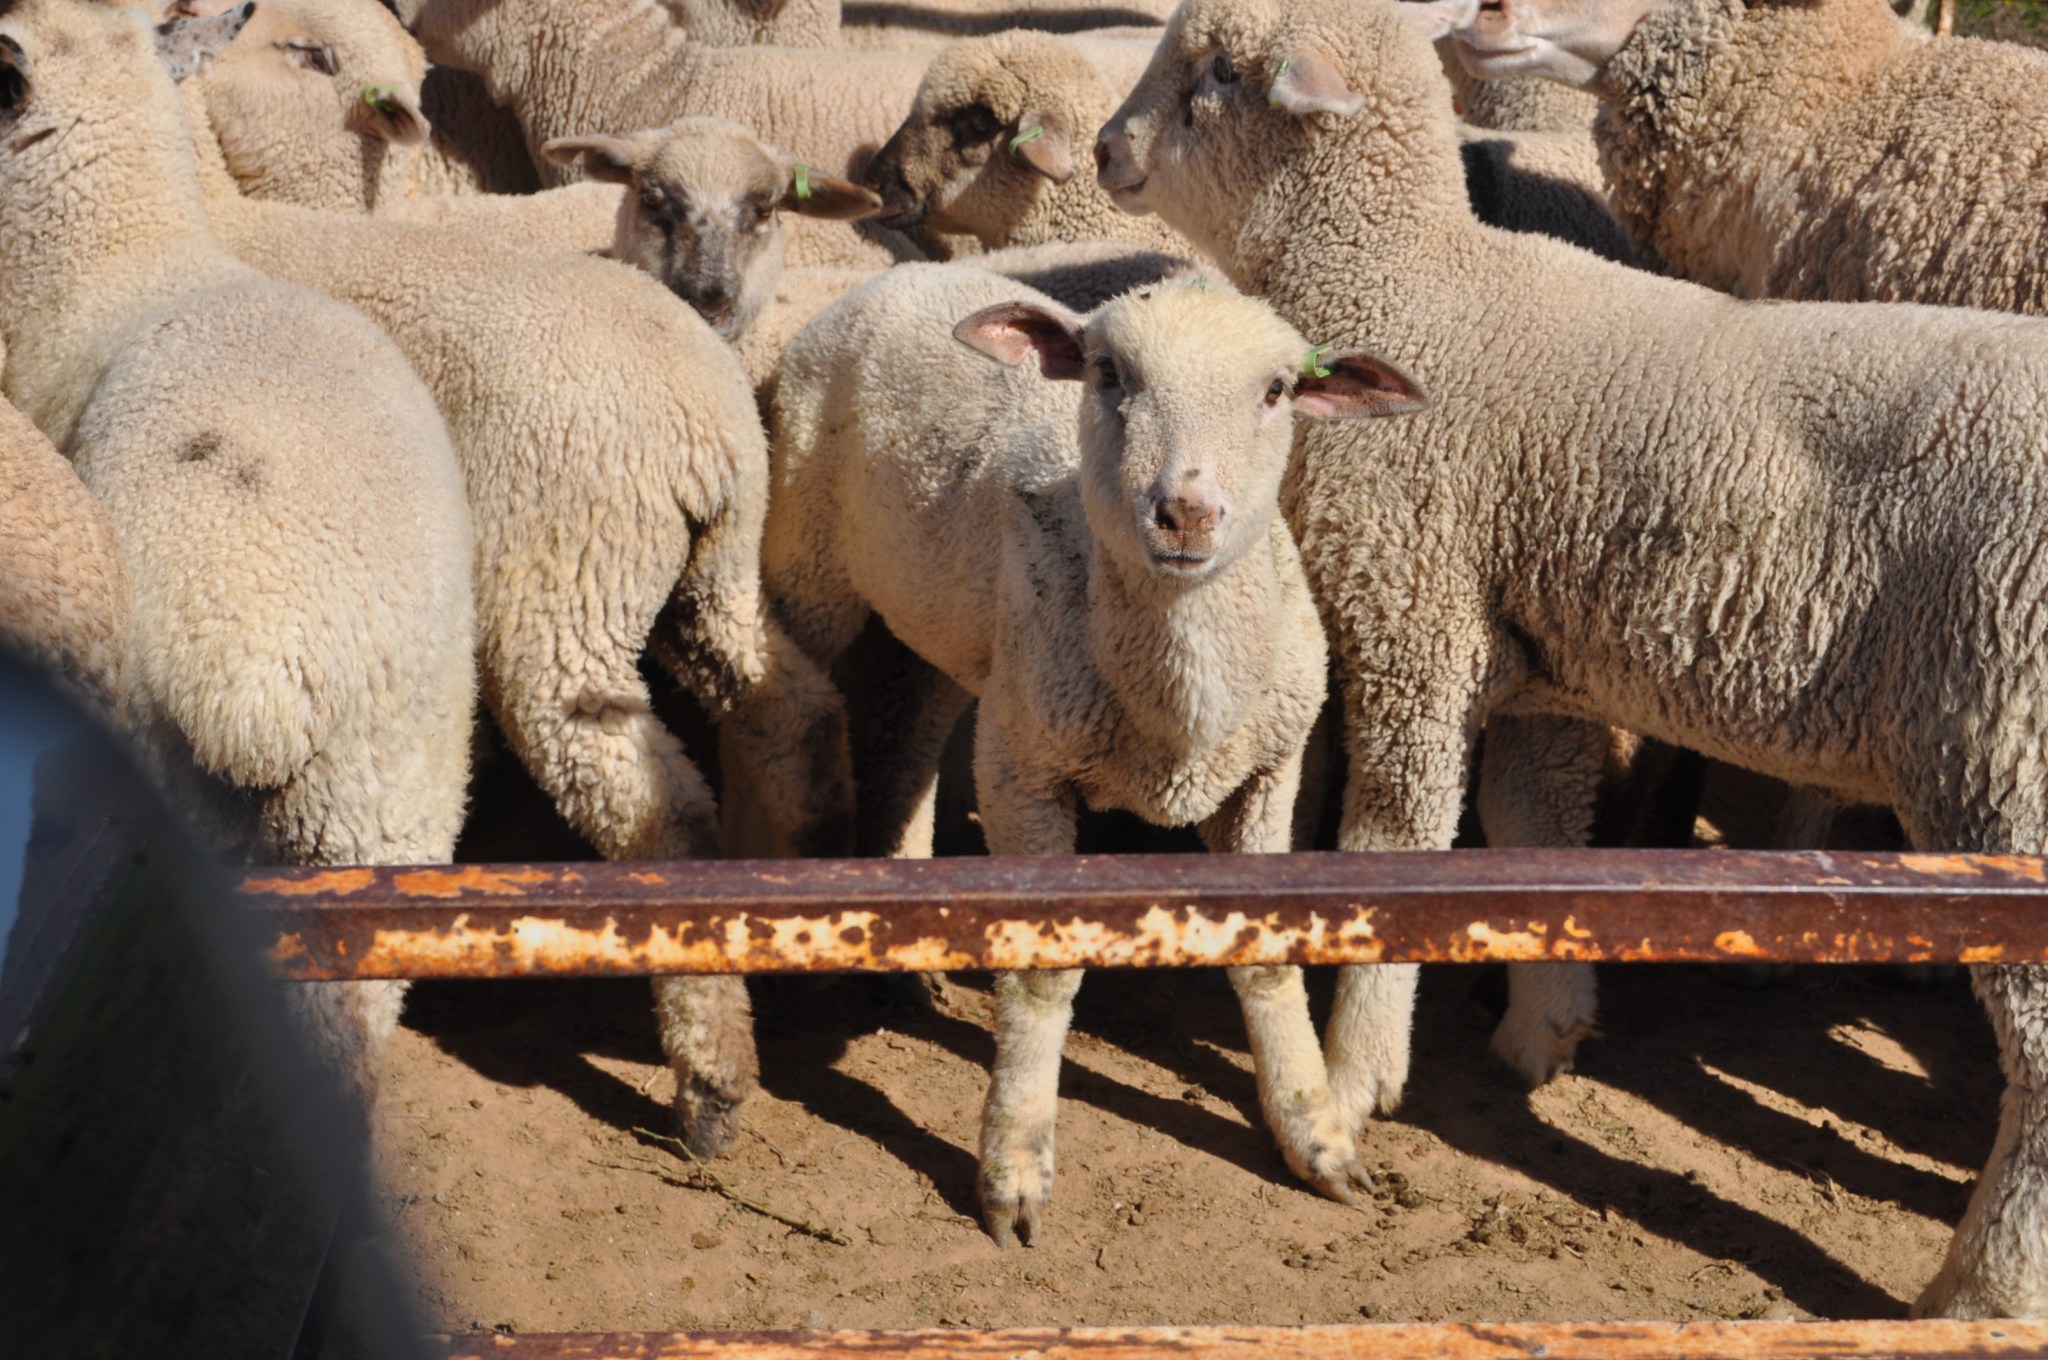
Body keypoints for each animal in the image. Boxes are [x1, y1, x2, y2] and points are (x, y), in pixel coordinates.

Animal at [767, 262, 1427, 1243]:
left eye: (1278, 390)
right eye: (1110, 373)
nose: (1186, 513)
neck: (1179, 702)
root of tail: (903, 273)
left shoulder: (1269, 771)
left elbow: (1268, 956)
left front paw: (1318, 1142)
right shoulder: (1023, 777)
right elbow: (1042, 981)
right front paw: (1014, 1170)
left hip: (966, 637)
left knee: (914, 738)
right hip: (808, 558)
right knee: (768, 714)